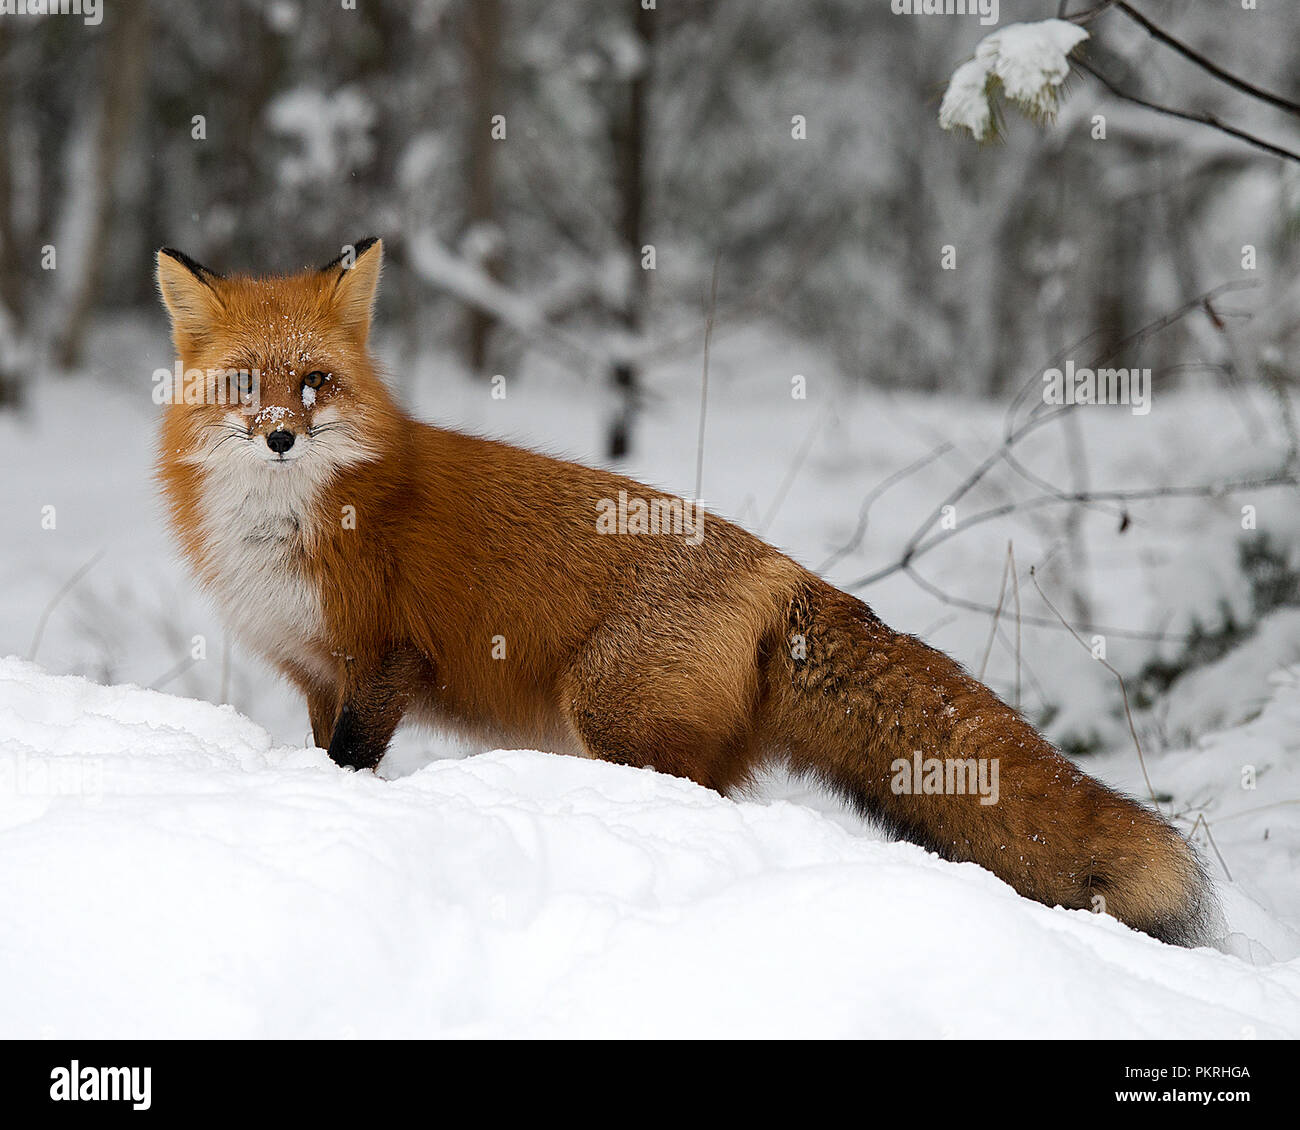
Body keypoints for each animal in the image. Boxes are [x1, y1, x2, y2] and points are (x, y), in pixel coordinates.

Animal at [155, 237, 1216, 947]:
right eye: (246, 385)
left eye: (314, 383)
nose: (280, 438)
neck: (294, 524)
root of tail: (785, 569)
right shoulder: (316, 672)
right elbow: (323, 754)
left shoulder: (383, 660)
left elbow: (350, 762)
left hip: (612, 716)